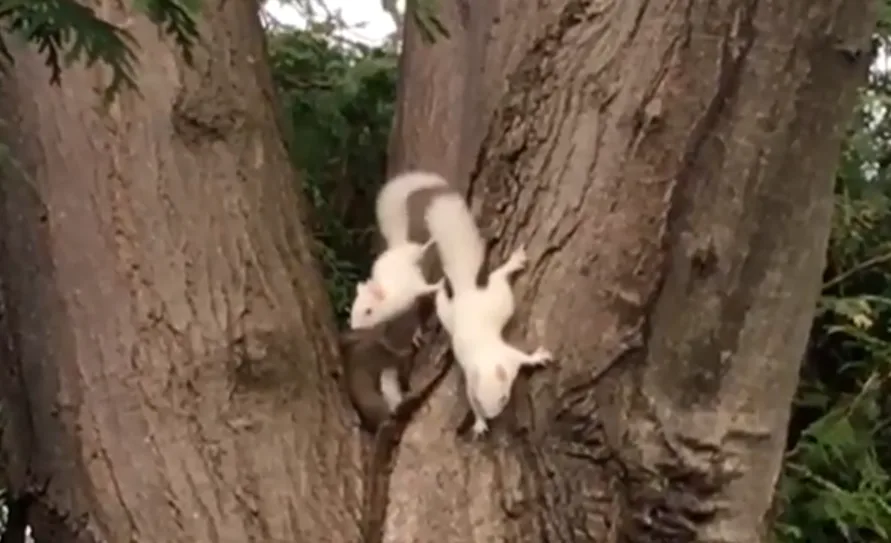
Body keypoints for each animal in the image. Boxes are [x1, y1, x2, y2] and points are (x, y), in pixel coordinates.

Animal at [349, 171, 449, 330]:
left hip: (413, 252)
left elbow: (427, 288)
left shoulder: (412, 286)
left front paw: (439, 284)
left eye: (368, 311)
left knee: (422, 248)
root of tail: (398, 245)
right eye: (352, 310)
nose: (354, 327)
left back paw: (431, 240)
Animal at [425, 193, 554, 437]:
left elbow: (524, 358)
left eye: (504, 398)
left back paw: (512, 263)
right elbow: (470, 401)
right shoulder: (470, 383)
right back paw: (439, 288)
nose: (493, 415)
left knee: (498, 276)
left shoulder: (509, 357)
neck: (485, 361)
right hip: (449, 314)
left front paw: (538, 357)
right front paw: (480, 423)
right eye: (480, 400)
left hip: (500, 299)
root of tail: (466, 293)